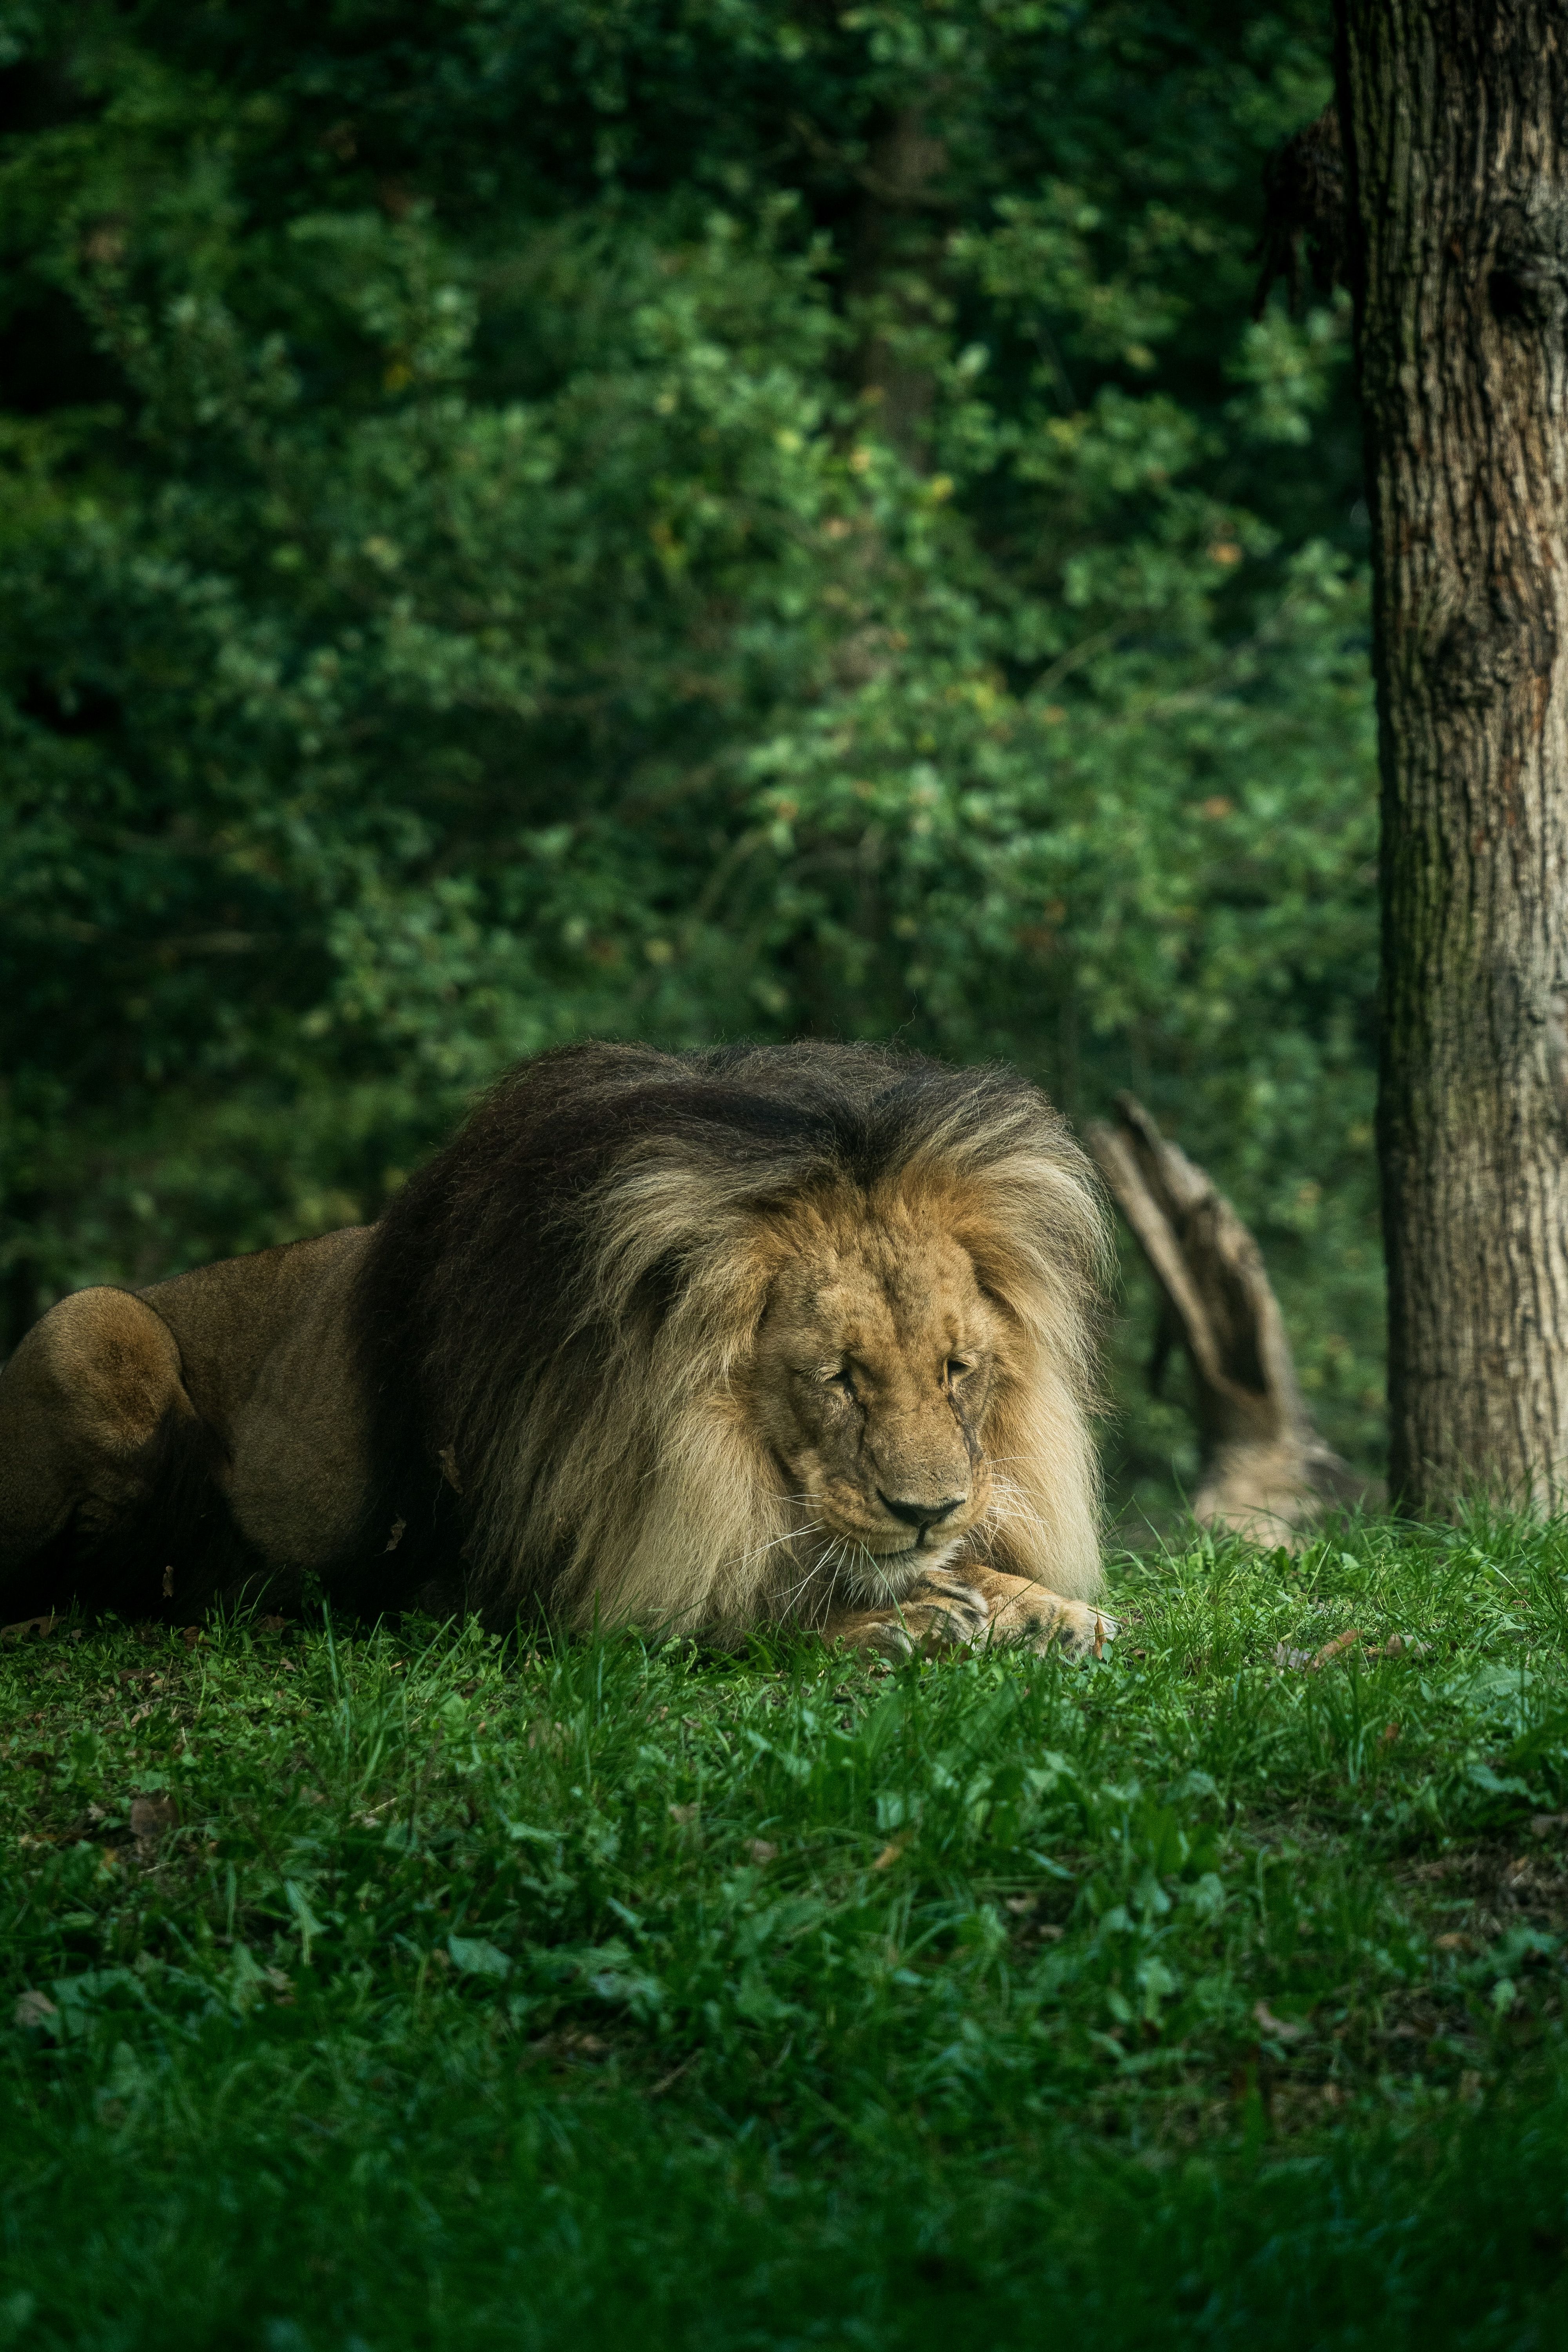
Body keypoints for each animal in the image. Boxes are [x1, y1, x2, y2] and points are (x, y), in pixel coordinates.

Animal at [0, 1042, 1116, 1660]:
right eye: (836, 1378)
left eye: (957, 1371)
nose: (929, 1510)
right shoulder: (509, 1585)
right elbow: (720, 1605)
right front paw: (897, 1619)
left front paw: (1041, 1609)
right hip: (90, 1324)